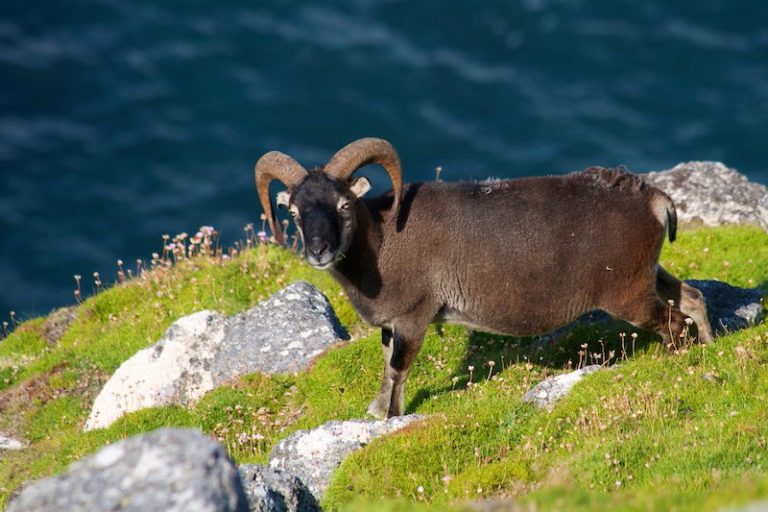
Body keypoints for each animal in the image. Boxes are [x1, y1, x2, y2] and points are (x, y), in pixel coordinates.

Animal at [255, 137, 714, 418]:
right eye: (294, 211)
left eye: (343, 205)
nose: (318, 251)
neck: (382, 245)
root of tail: (656, 201)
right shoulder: (392, 324)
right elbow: (387, 366)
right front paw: (375, 412)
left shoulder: (414, 317)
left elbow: (399, 369)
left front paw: (392, 418)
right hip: (647, 274)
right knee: (691, 297)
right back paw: (711, 347)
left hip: (628, 293)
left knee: (673, 321)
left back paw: (680, 363)